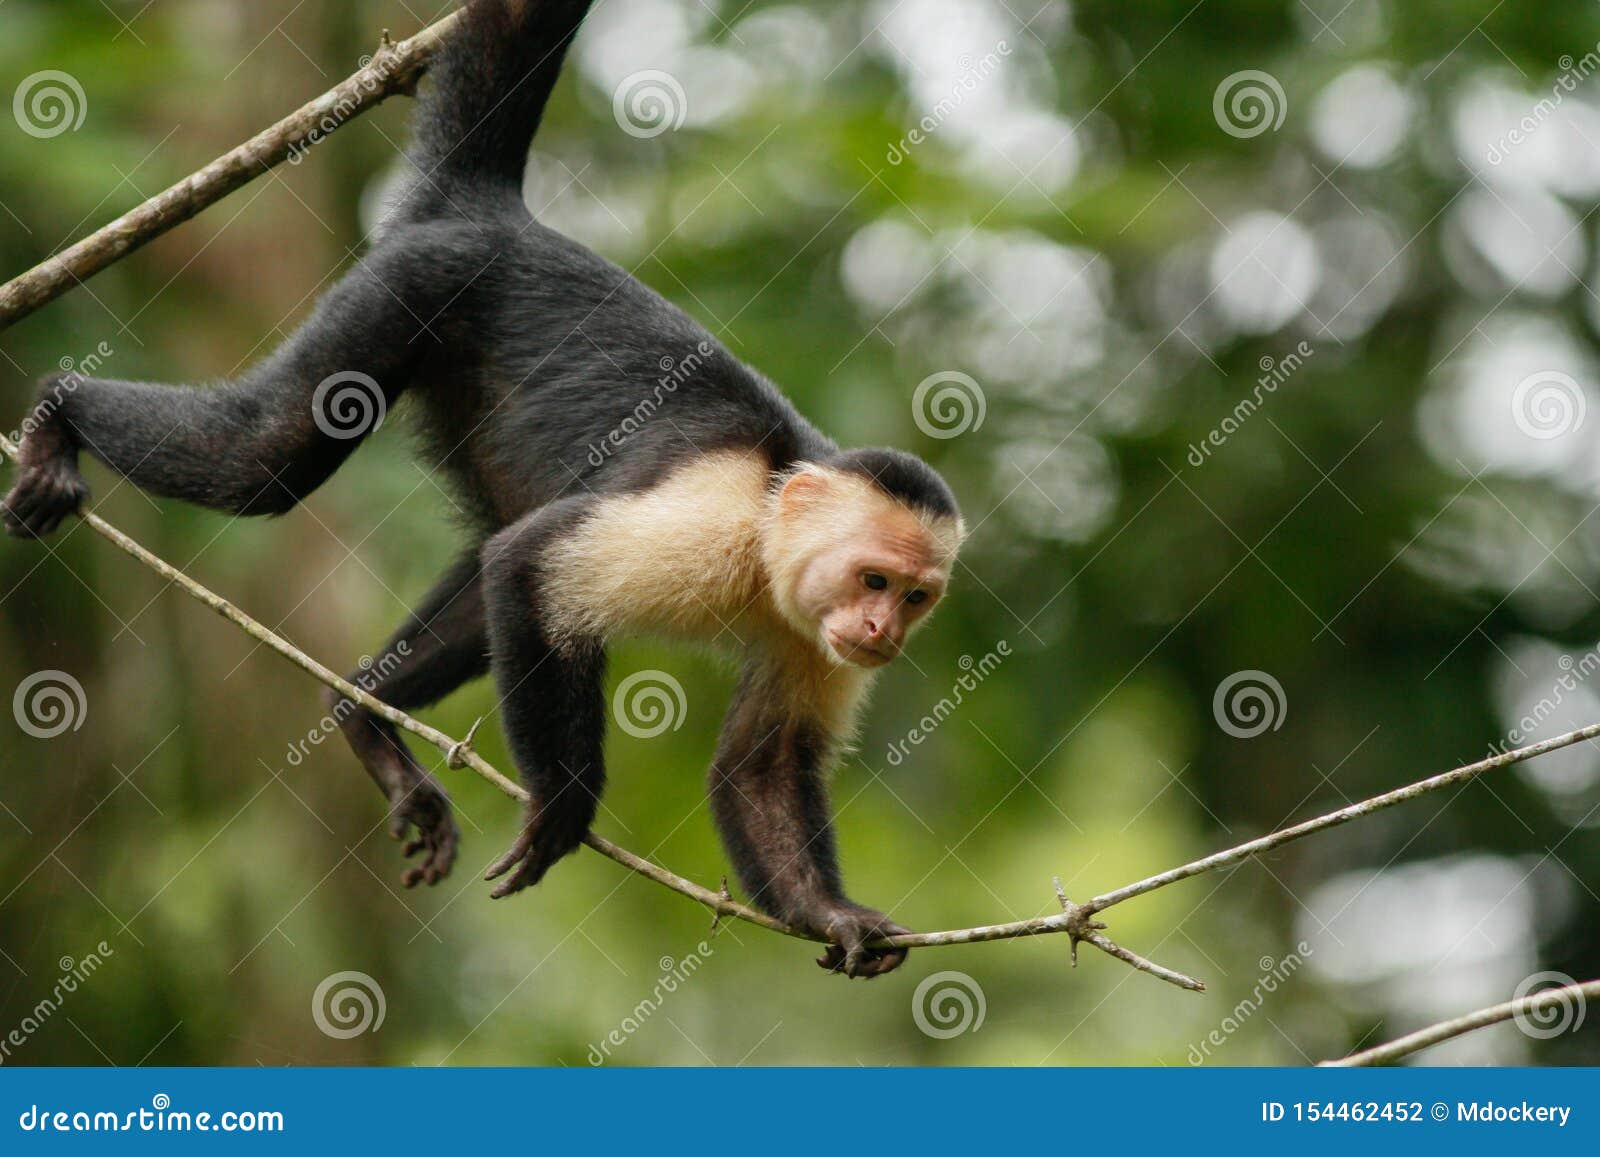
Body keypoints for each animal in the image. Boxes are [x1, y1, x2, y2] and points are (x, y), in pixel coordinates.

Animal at [1, 0, 964, 979]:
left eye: (915, 597)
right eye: (875, 579)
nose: (884, 633)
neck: (769, 539)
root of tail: (494, 213)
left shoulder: (812, 637)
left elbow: (757, 767)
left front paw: (831, 914)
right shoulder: (708, 519)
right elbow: (534, 566)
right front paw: (566, 801)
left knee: (479, 571)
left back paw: (362, 714)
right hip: (410, 286)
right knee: (268, 461)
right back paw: (58, 414)